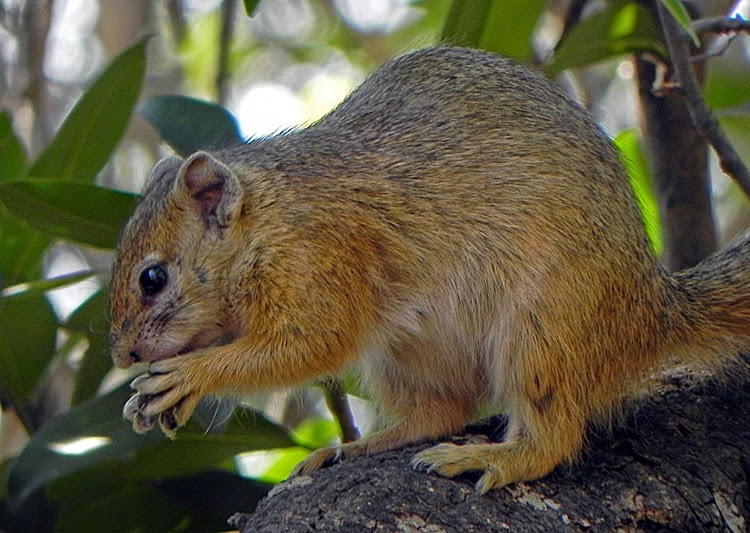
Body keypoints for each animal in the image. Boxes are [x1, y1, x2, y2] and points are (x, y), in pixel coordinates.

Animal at [109, 46, 750, 493]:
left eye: (152, 279)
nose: (123, 356)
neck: (265, 221)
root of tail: (647, 310)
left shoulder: (322, 259)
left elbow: (312, 344)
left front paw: (190, 377)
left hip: (545, 327)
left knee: (554, 435)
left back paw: (493, 456)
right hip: (412, 354)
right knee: (440, 411)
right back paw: (356, 448)